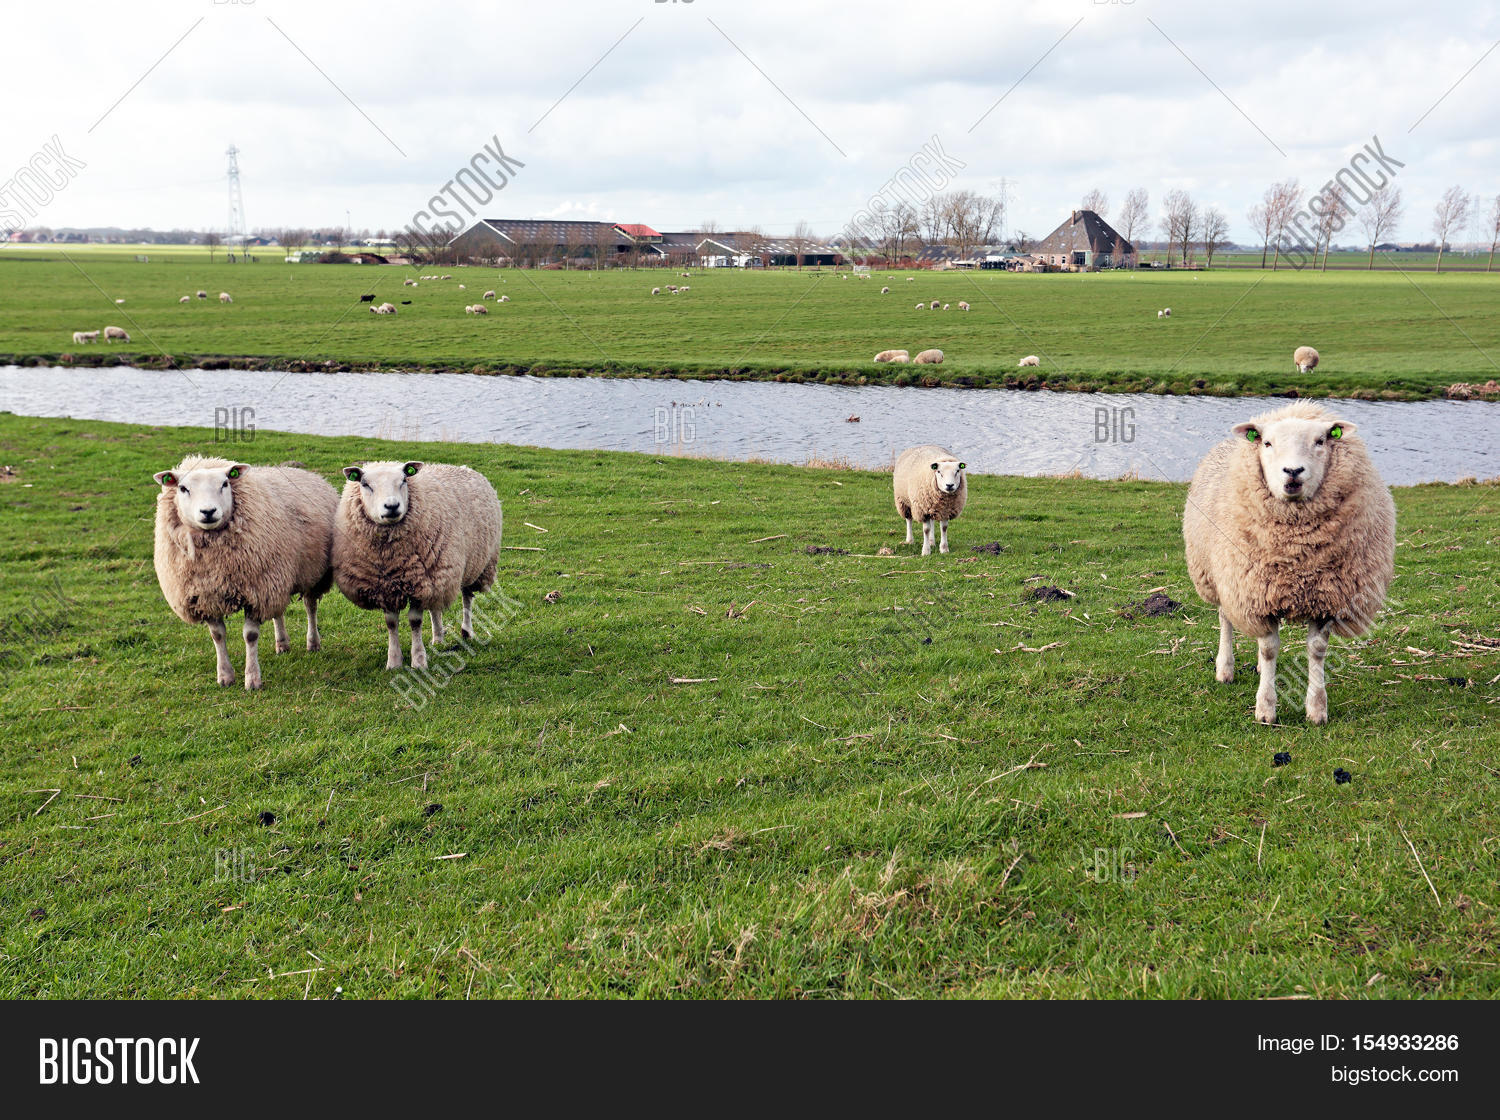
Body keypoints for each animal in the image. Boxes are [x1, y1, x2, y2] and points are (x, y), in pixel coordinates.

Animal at [152, 458, 339, 690]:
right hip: (276, 576)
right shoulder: (207, 596)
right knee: (278, 612)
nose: (208, 511)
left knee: (310, 606)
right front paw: (225, 676)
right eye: (183, 488)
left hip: (311, 574)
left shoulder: (256, 592)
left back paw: (313, 643)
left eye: (225, 484)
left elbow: (250, 636)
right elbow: (217, 635)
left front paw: (252, 679)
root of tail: (312, 475)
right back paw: (282, 644)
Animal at [332, 461, 503, 670]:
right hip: (437, 574)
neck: (390, 558)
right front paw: (394, 661)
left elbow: (415, 622)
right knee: (435, 607)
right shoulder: (387, 588)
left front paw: (419, 660)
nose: (392, 506)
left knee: (467, 598)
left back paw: (467, 631)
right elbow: (391, 623)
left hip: (476, 564)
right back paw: (438, 638)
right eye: (365, 484)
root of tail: (461, 467)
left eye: (404, 480)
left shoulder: (418, 584)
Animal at [1183, 401, 1395, 725]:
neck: (1297, 552)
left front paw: (1317, 709)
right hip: (1219, 576)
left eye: (1320, 441)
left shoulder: (1326, 599)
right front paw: (1265, 709)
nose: (1293, 471)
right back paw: (1225, 668)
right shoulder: (1254, 593)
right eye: (1267, 443)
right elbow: (1270, 649)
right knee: (1225, 618)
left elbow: (1317, 650)